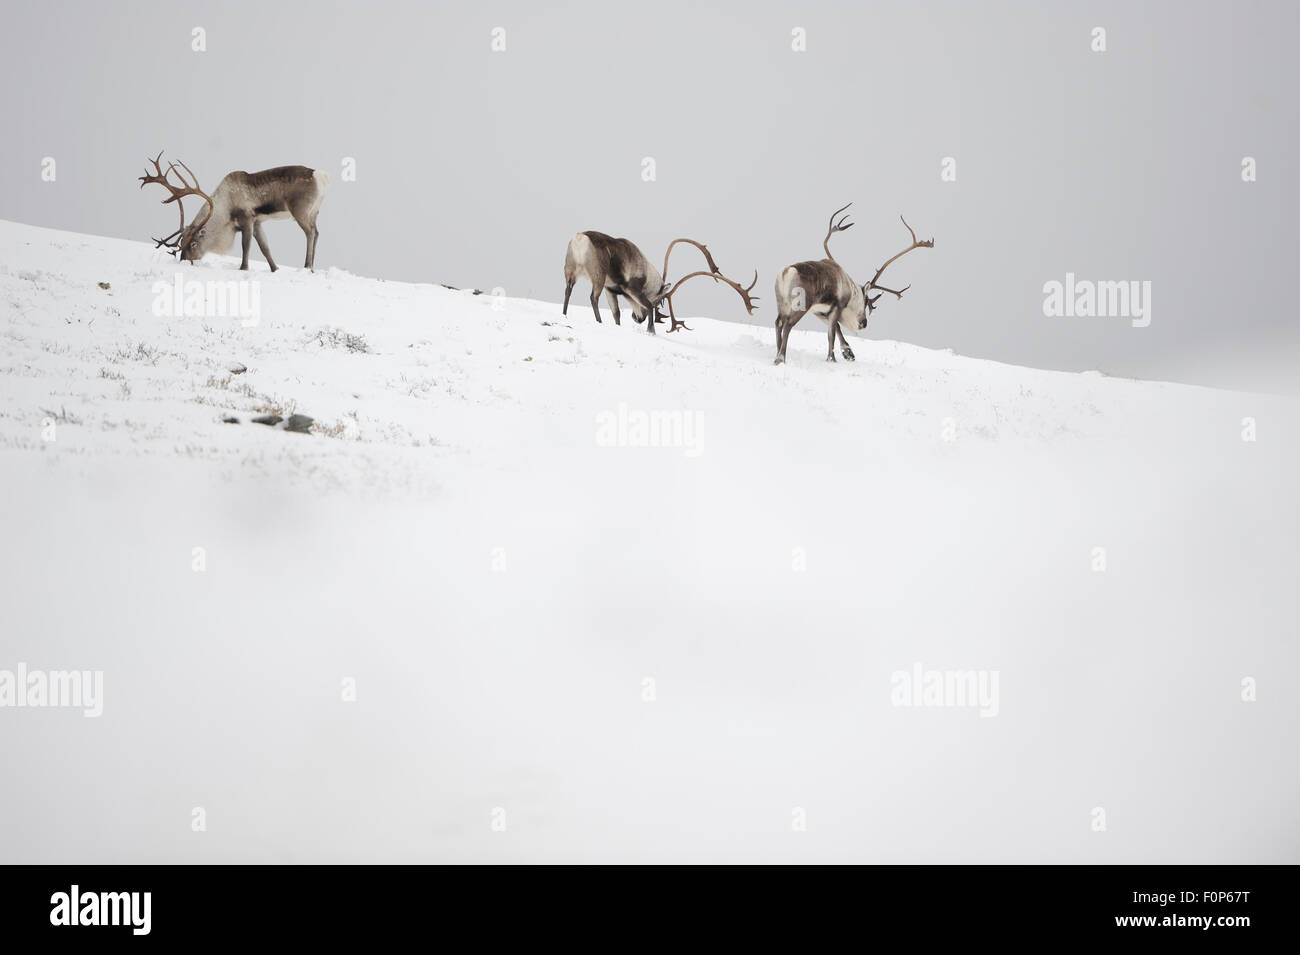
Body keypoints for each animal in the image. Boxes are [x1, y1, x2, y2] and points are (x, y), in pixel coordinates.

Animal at [138, 152, 328, 272]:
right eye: (182, 241)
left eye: (193, 244)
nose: (184, 260)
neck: (225, 206)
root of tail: (320, 176)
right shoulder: (257, 222)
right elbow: (265, 248)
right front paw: (275, 269)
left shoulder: (247, 219)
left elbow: (246, 246)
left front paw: (243, 268)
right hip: (314, 212)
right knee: (317, 232)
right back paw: (312, 268)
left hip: (301, 211)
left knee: (310, 233)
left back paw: (307, 266)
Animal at [563, 233, 759, 335]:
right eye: (659, 301)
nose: (637, 318)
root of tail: (580, 239)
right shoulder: (631, 288)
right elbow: (647, 306)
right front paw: (652, 330)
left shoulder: (611, 289)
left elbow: (616, 314)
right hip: (598, 274)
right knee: (592, 297)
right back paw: (598, 322)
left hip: (571, 270)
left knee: (568, 291)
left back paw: (564, 315)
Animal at [773, 204, 934, 365]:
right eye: (866, 302)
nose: (864, 323)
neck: (850, 288)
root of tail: (787, 272)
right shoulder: (836, 307)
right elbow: (831, 333)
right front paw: (832, 359)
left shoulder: (819, 311)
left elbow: (836, 328)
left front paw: (848, 353)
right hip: (801, 305)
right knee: (788, 325)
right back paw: (781, 357)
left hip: (782, 303)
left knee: (778, 323)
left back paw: (777, 354)